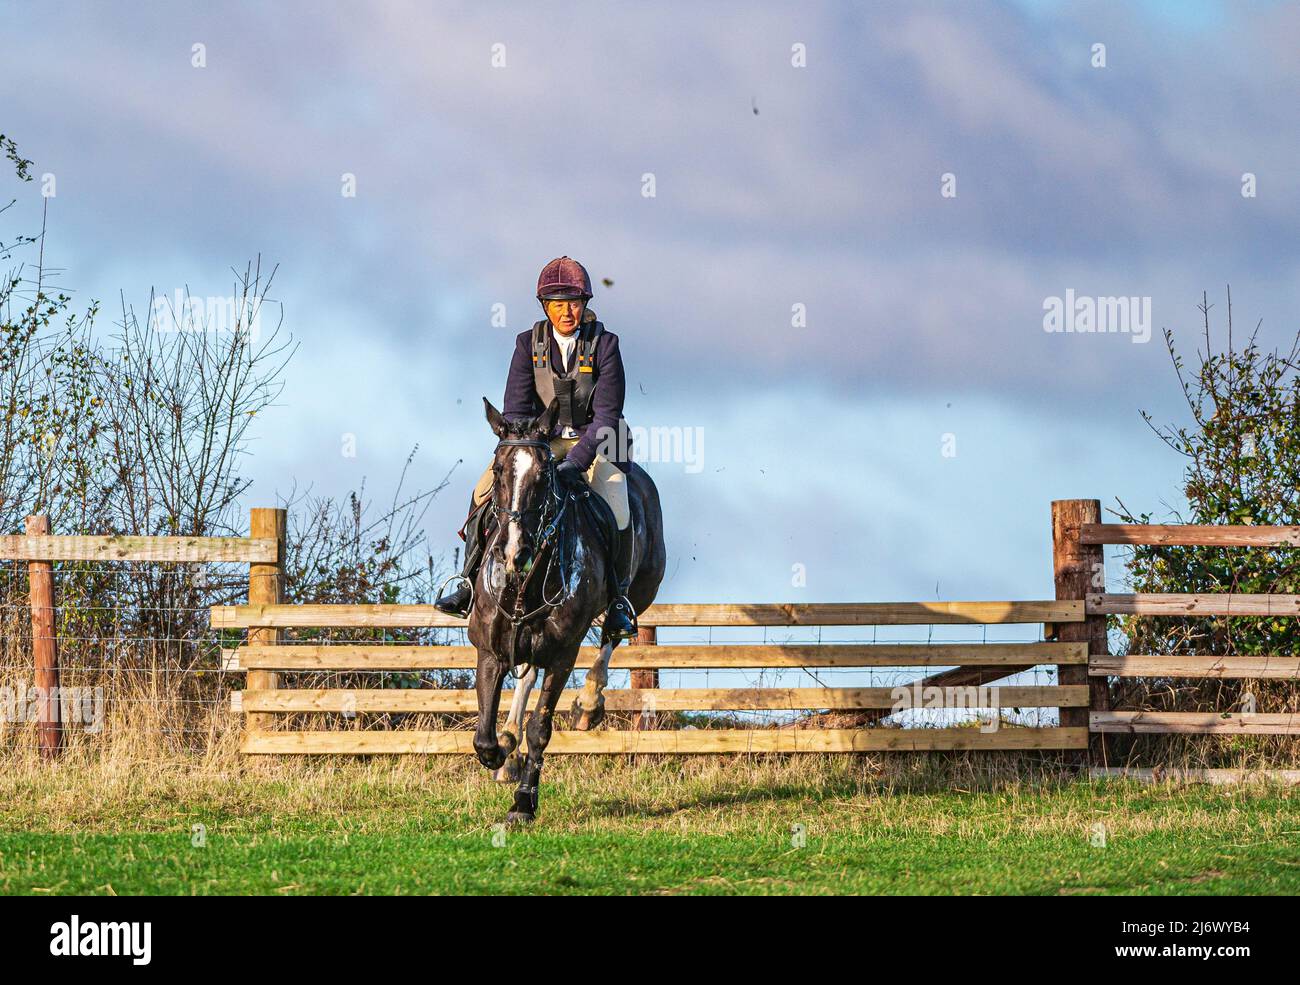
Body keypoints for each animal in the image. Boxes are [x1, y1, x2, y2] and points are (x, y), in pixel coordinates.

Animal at [467, 396, 666, 824]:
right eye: (498, 470)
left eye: (544, 476)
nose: (514, 553)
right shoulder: (490, 652)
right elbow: (484, 738)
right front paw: (503, 754)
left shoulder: (562, 656)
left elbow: (540, 730)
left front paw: (524, 803)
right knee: (526, 675)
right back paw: (509, 740)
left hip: (640, 592)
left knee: (610, 636)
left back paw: (588, 704)